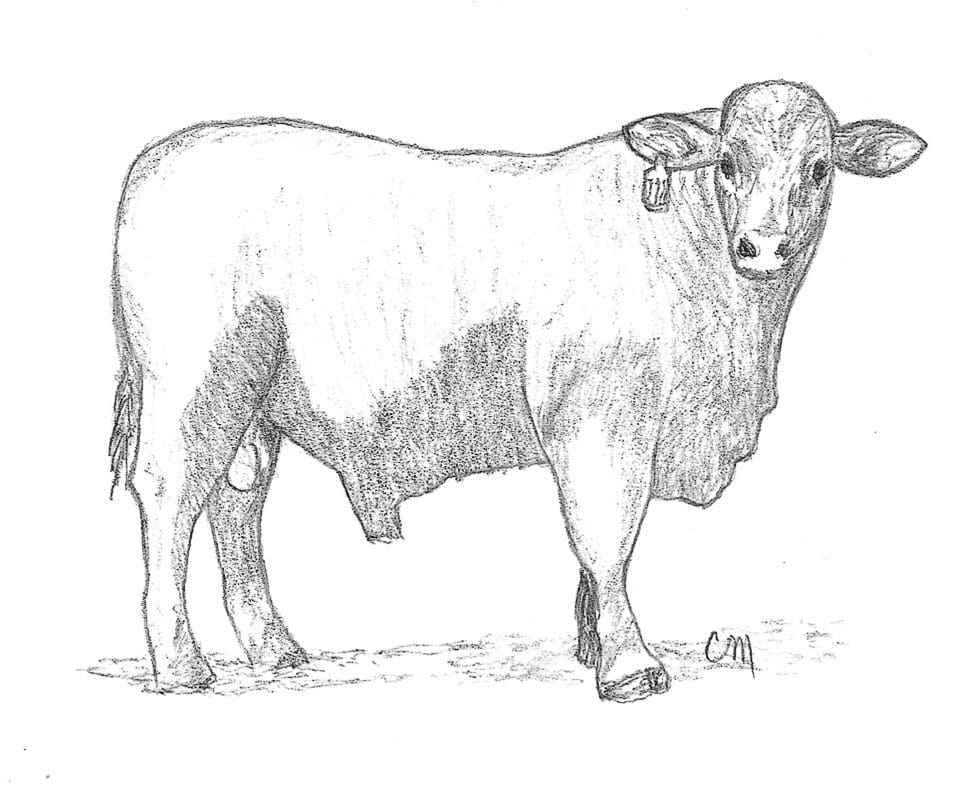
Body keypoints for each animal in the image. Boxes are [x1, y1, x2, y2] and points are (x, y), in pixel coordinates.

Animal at [109, 80, 925, 701]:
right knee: (170, 497)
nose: (763, 246)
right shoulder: (600, 418)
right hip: (191, 383)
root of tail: (159, 156)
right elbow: (605, 534)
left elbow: (597, 552)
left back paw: (276, 650)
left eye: (819, 168)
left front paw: (592, 644)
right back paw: (182, 665)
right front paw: (628, 667)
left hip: (252, 399)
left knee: (234, 504)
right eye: (728, 162)